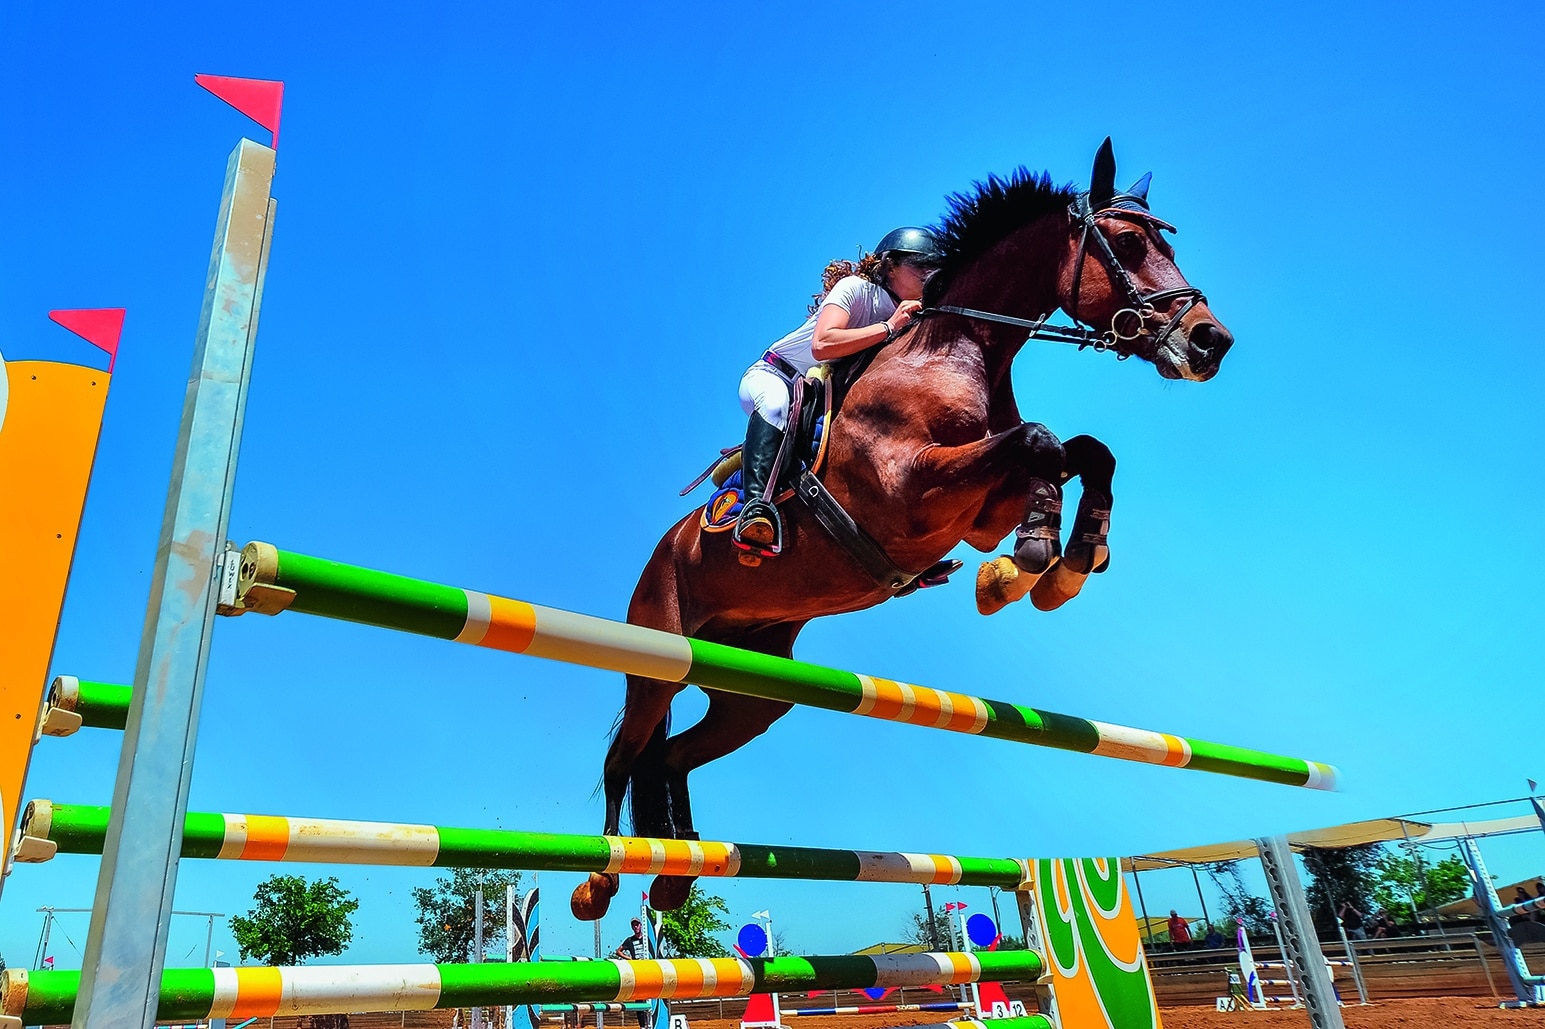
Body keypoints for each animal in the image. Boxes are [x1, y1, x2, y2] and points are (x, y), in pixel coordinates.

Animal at [571, 139, 1234, 920]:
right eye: (1128, 243)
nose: (1210, 341)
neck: (956, 349)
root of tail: (661, 551)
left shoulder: (978, 510)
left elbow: (1083, 451)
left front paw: (1063, 563)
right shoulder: (909, 490)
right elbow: (1041, 440)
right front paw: (1034, 557)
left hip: (753, 690)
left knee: (671, 755)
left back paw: (675, 871)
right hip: (655, 662)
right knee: (624, 756)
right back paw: (600, 878)